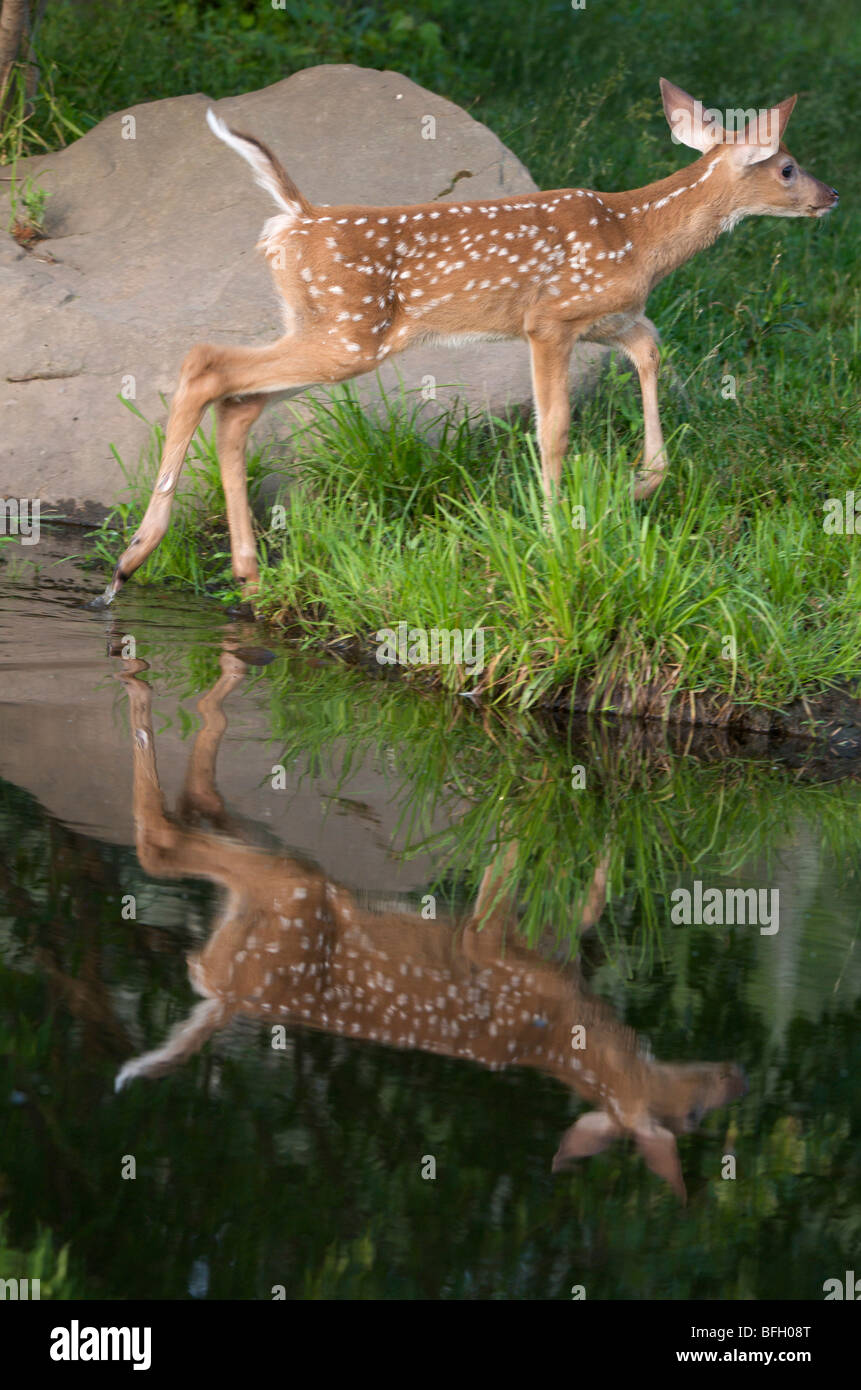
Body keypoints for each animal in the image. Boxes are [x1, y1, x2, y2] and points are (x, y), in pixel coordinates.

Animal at [89, 78, 837, 613]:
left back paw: (242, 573)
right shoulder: (549, 317)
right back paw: (131, 559)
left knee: (236, 403)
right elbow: (554, 425)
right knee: (203, 364)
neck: (639, 234)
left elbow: (651, 351)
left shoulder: (612, 316)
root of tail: (295, 217)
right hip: (349, 332)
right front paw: (554, 528)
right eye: (788, 167)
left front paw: (642, 481)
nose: (830, 195)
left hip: (322, 328)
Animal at [113, 646, 747, 1201]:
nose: (735, 1076)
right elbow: (511, 859)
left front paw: (612, 840)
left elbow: (579, 908)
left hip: (261, 887)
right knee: (161, 843)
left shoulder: (542, 946)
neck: (568, 1020)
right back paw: (134, 674)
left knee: (197, 804)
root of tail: (223, 994)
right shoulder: (491, 948)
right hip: (293, 891)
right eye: (692, 1115)